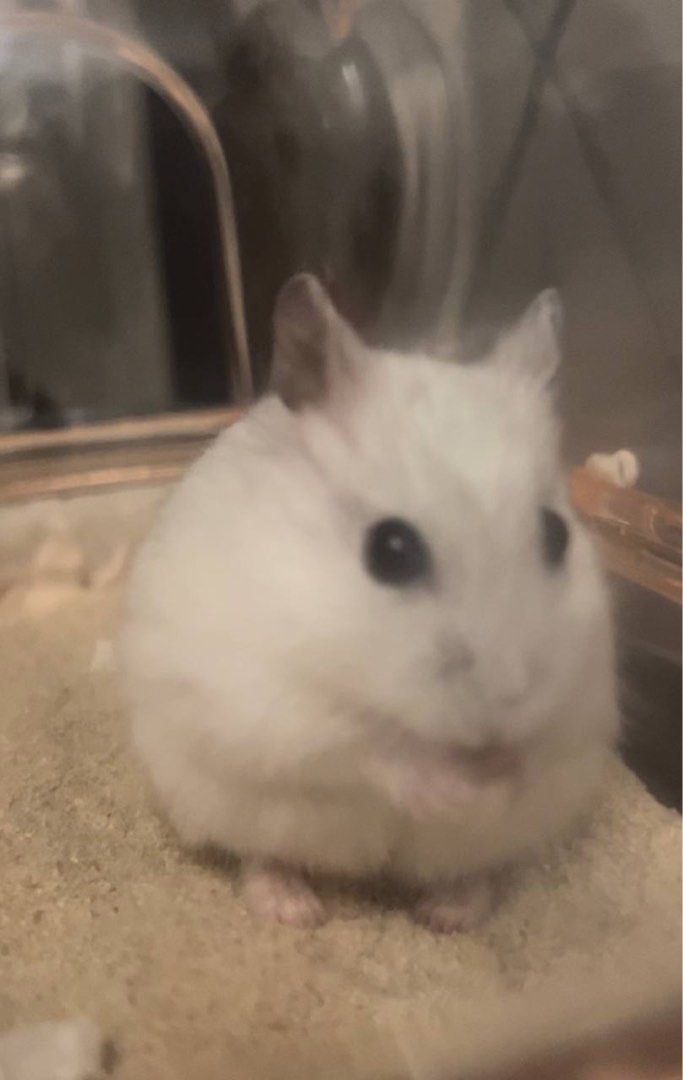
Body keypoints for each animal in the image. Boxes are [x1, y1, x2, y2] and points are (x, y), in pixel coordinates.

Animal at [119, 274, 618, 931]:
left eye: (557, 534)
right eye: (390, 550)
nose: (508, 707)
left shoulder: (579, 714)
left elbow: (541, 754)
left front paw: (504, 780)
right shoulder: (281, 707)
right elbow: (373, 755)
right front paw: (462, 789)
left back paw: (449, 912)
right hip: (224, 801)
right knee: (261, 855)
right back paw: (295, 909)